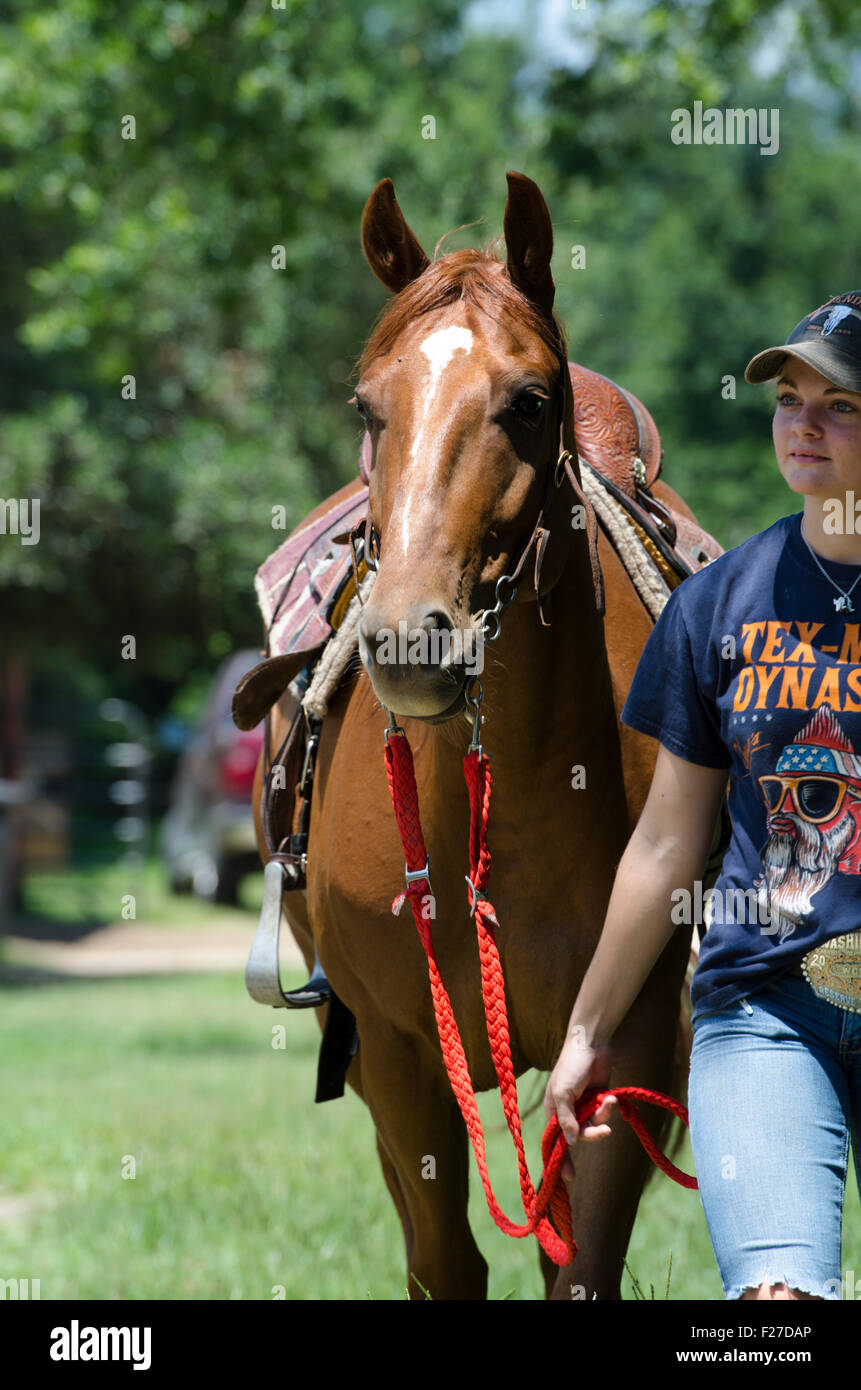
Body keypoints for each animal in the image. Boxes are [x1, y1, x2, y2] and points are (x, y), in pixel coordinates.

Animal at [250, 173, 712, 1299]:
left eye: (530, 402)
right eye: (366, 407)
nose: (410, 636)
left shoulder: (627, 1051)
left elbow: (578, 1263)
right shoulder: (398, 1056)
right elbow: (445, 1262)